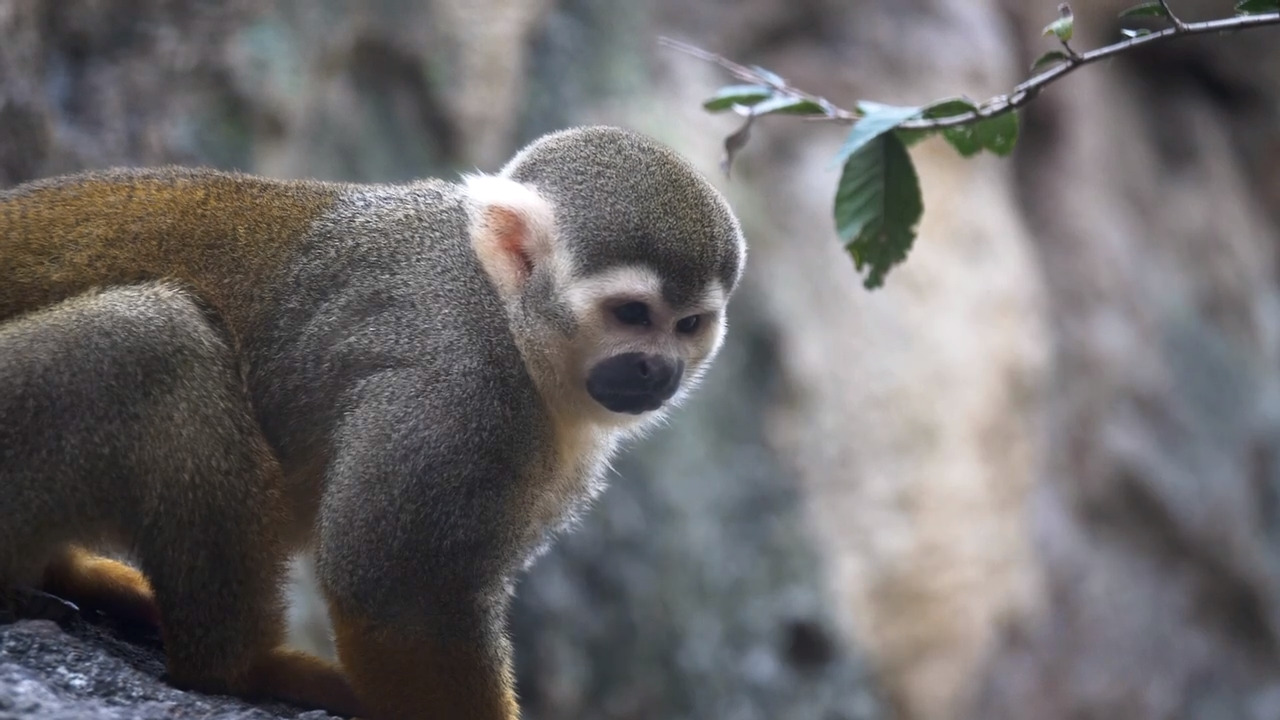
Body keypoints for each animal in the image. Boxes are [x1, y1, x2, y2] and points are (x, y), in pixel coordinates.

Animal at [0, 125, 747, 719]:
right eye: (631, 314)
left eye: (688, 326)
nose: (656, 370)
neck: (507, 315)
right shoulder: (456, 388)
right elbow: (394, 596)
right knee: (155, 341)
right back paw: (238, 668)